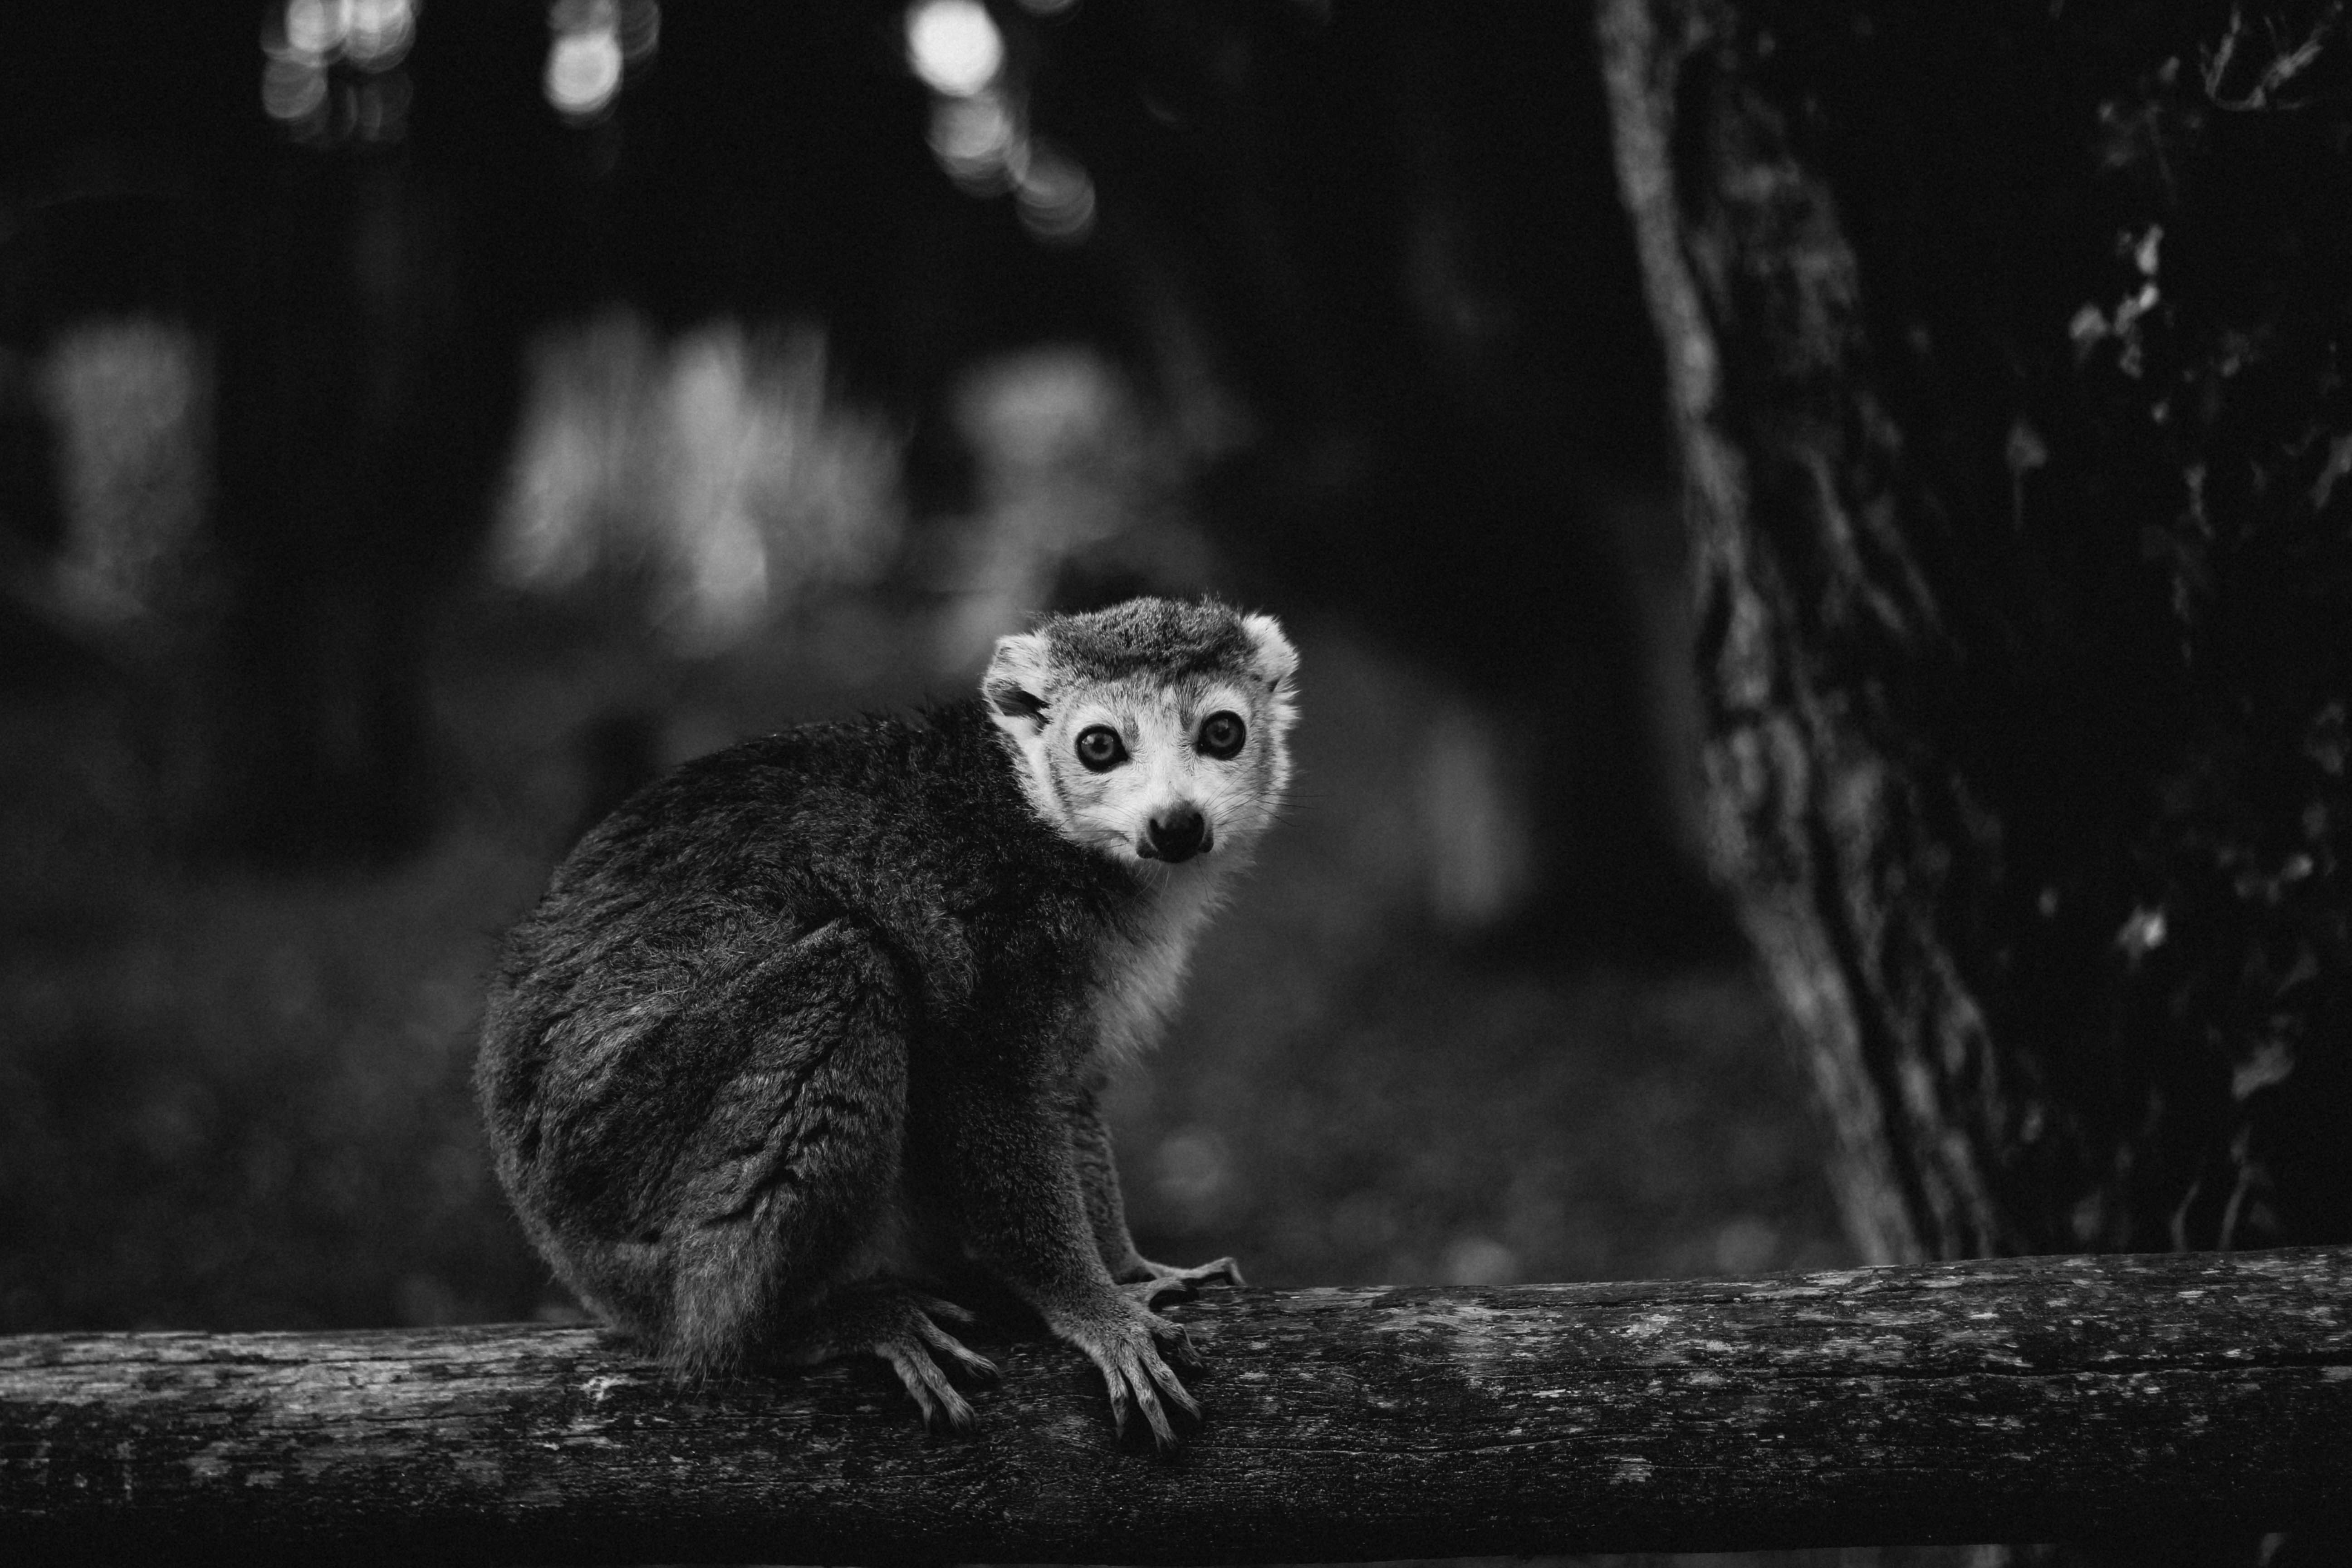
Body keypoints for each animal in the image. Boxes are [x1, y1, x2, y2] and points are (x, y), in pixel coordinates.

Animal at [475, 596, 1298, 1446]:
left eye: (1222, 732)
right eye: (1099, 746)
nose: (1176, 824)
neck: (1047, 829)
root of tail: (553, 1228)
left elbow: (1065, 1094)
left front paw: (1133, 1271)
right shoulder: (1001, 928)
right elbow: (984, 1092)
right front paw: (1092, 1307)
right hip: (624, 1165)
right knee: (852, 970)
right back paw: (800, 1328)